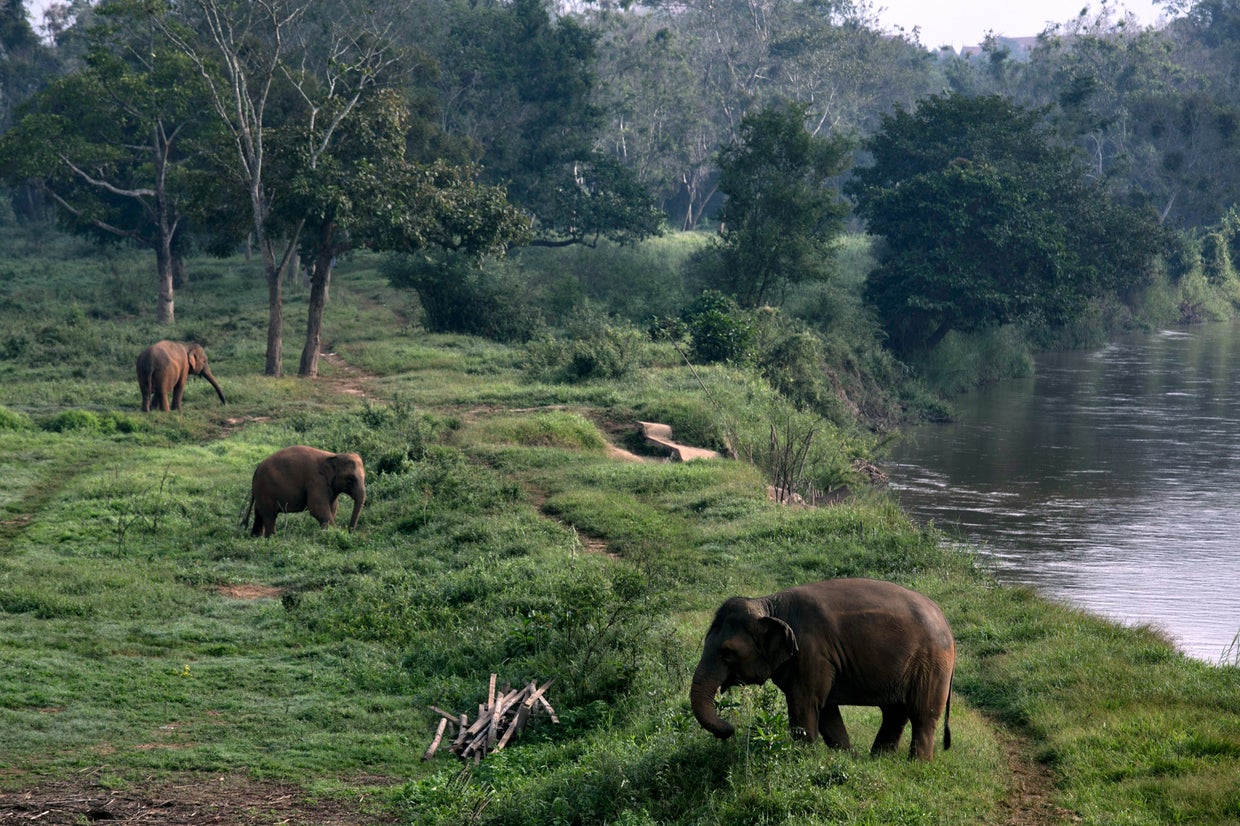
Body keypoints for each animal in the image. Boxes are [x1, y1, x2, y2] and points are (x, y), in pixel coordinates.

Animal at [690, 578, 955, 760]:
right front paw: (847, 757)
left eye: (727, 653)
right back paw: (879, 759)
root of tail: (946, 623)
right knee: (895, 712)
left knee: (922, 714)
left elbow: (805, 705)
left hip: (932, 665)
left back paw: (917, 764)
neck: (768, 604)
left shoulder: (811, 653)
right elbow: (826, 711)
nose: (728, 730)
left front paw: (800, 757)